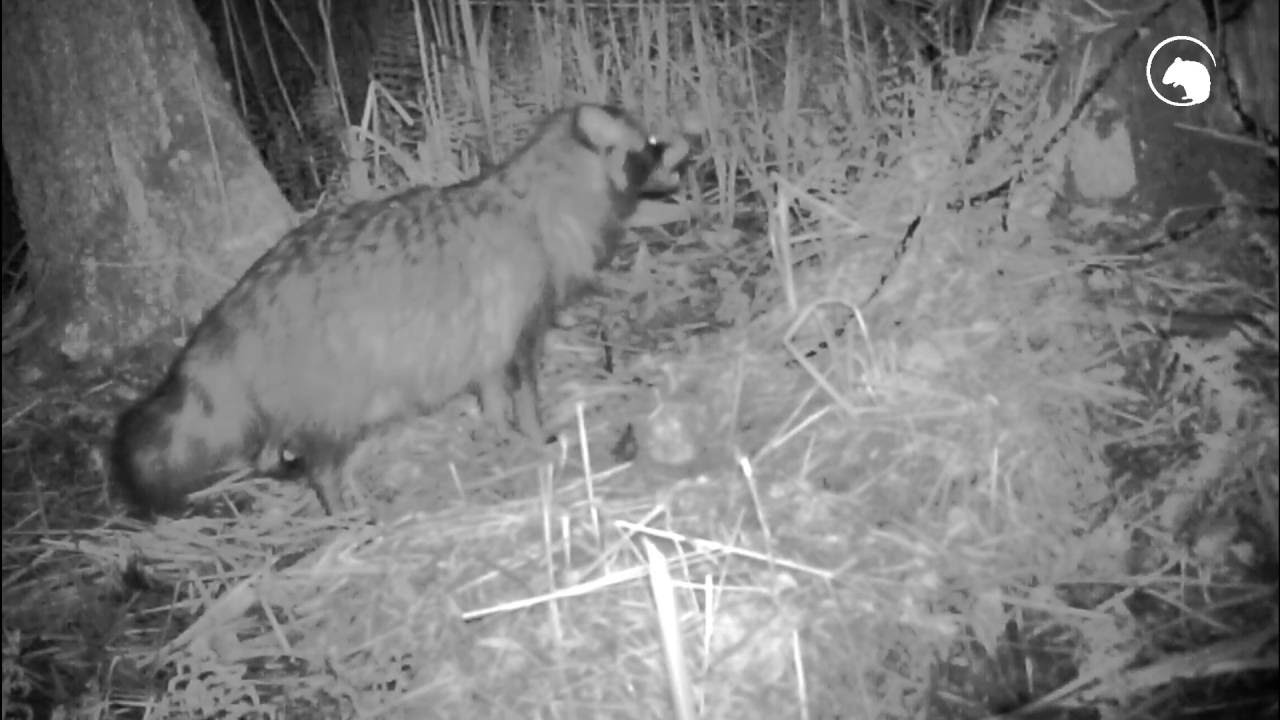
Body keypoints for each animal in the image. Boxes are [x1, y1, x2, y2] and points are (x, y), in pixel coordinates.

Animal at [112, 103, 689, 516]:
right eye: (652, 144)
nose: (694, 142)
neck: (543, 191)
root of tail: (237, 306)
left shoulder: (483, 323)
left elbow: (488, 383)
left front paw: (498, 427)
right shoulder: (519, 307)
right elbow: (521, 379)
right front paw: (534, 431)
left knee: (271, 447)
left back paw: (277, 465)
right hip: (330, 381)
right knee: (323, 454)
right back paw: (336, 502)